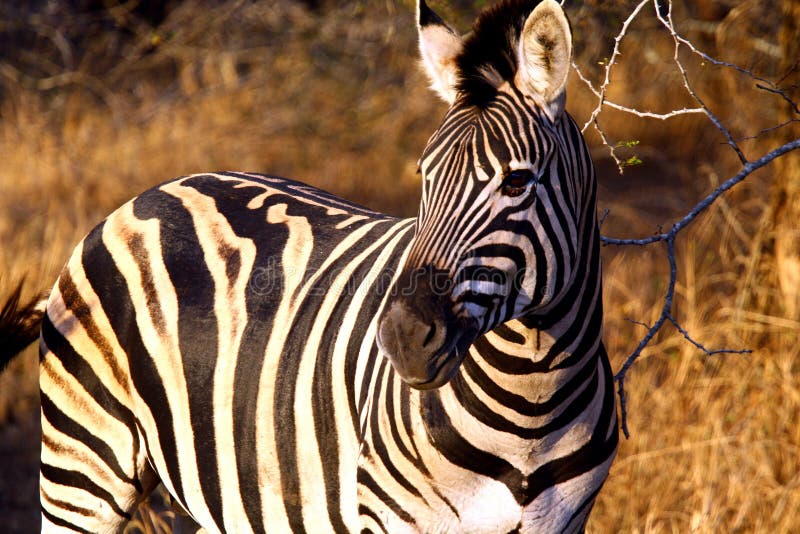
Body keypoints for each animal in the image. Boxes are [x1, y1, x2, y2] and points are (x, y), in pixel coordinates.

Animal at [0, 0, 618, 532]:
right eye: (424, 177)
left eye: (517, 182)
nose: (401, 338)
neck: (531, 405)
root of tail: (147, 195)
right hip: (82, 468)